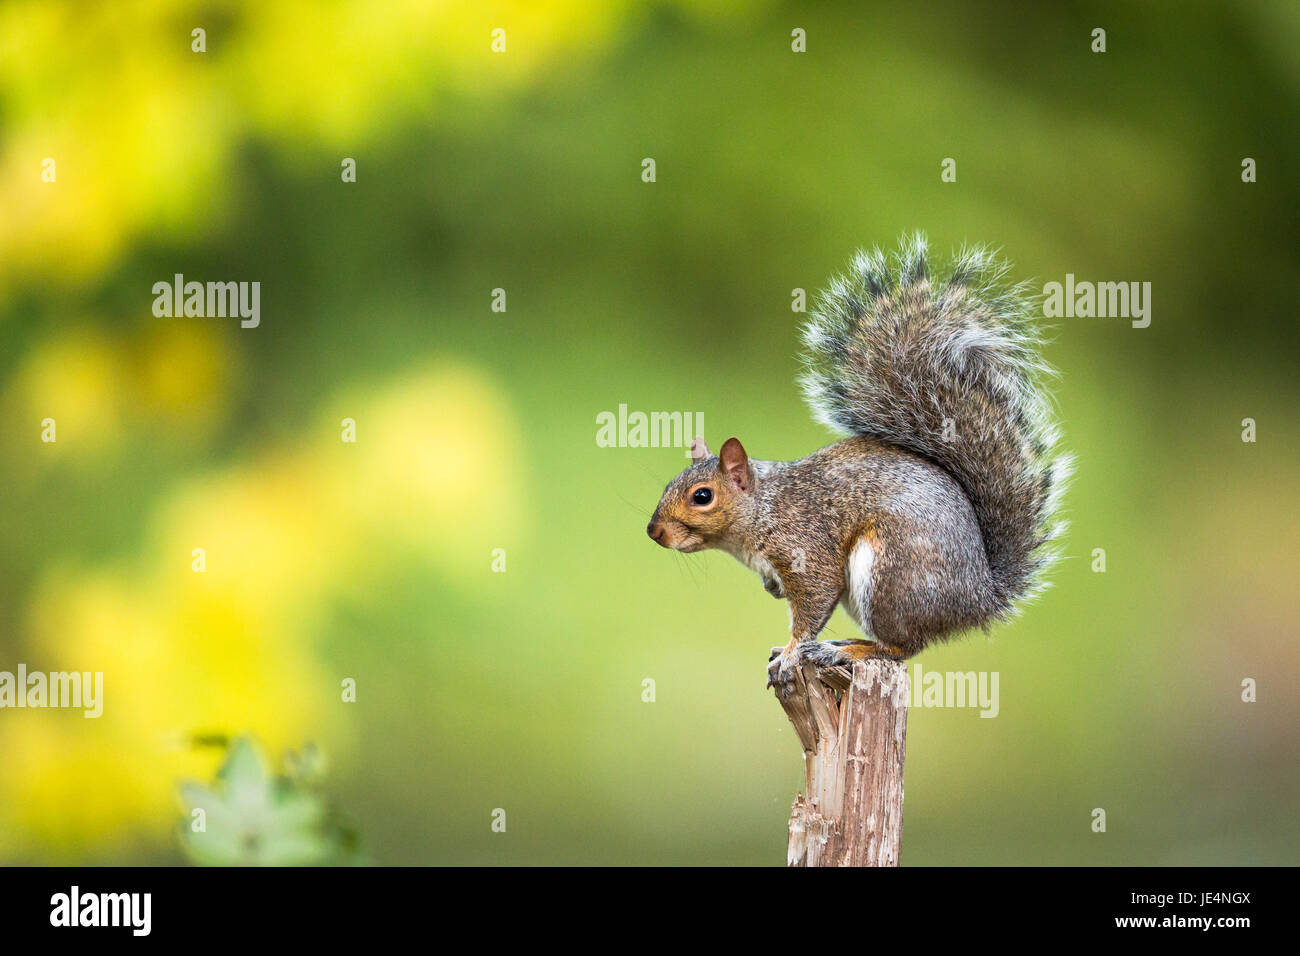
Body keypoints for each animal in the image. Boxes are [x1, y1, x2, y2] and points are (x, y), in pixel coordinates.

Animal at [646, 234, 1072, 692]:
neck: (764, 510)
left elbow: (812, 606)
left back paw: (844, 651)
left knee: (902, 646)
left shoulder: (806, 548)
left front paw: (791, 653)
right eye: (670, 484)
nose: (654, 532)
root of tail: (979, 599)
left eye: (702, 496)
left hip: (890, 576)